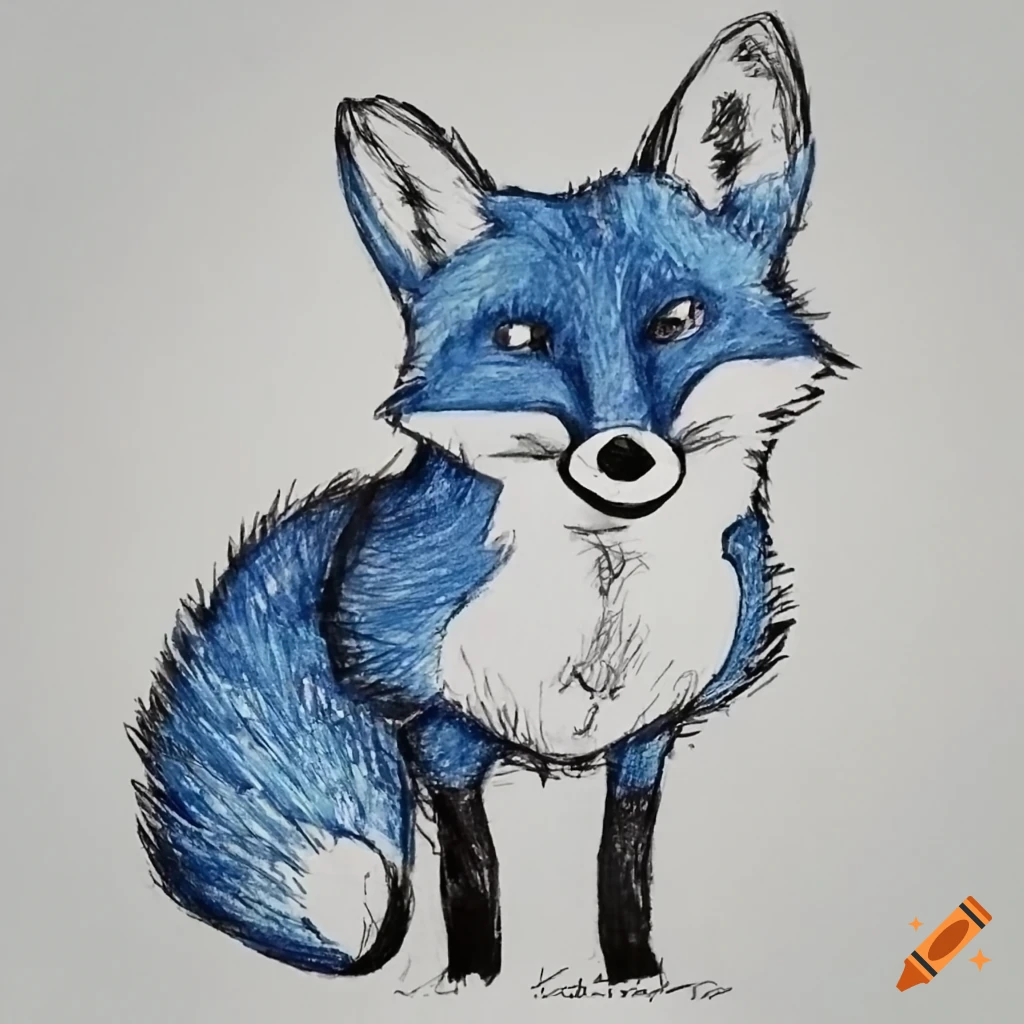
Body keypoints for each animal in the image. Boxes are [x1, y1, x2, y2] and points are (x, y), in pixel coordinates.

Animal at [130, 11, 853, 988]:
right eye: (521, 338)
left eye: (675, 321)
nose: (625, 459)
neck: (596, 605)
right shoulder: (440, 733)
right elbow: (471, 875)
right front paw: (475, 978)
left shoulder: (648, 739)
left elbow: (623, 869)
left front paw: (635, 976)